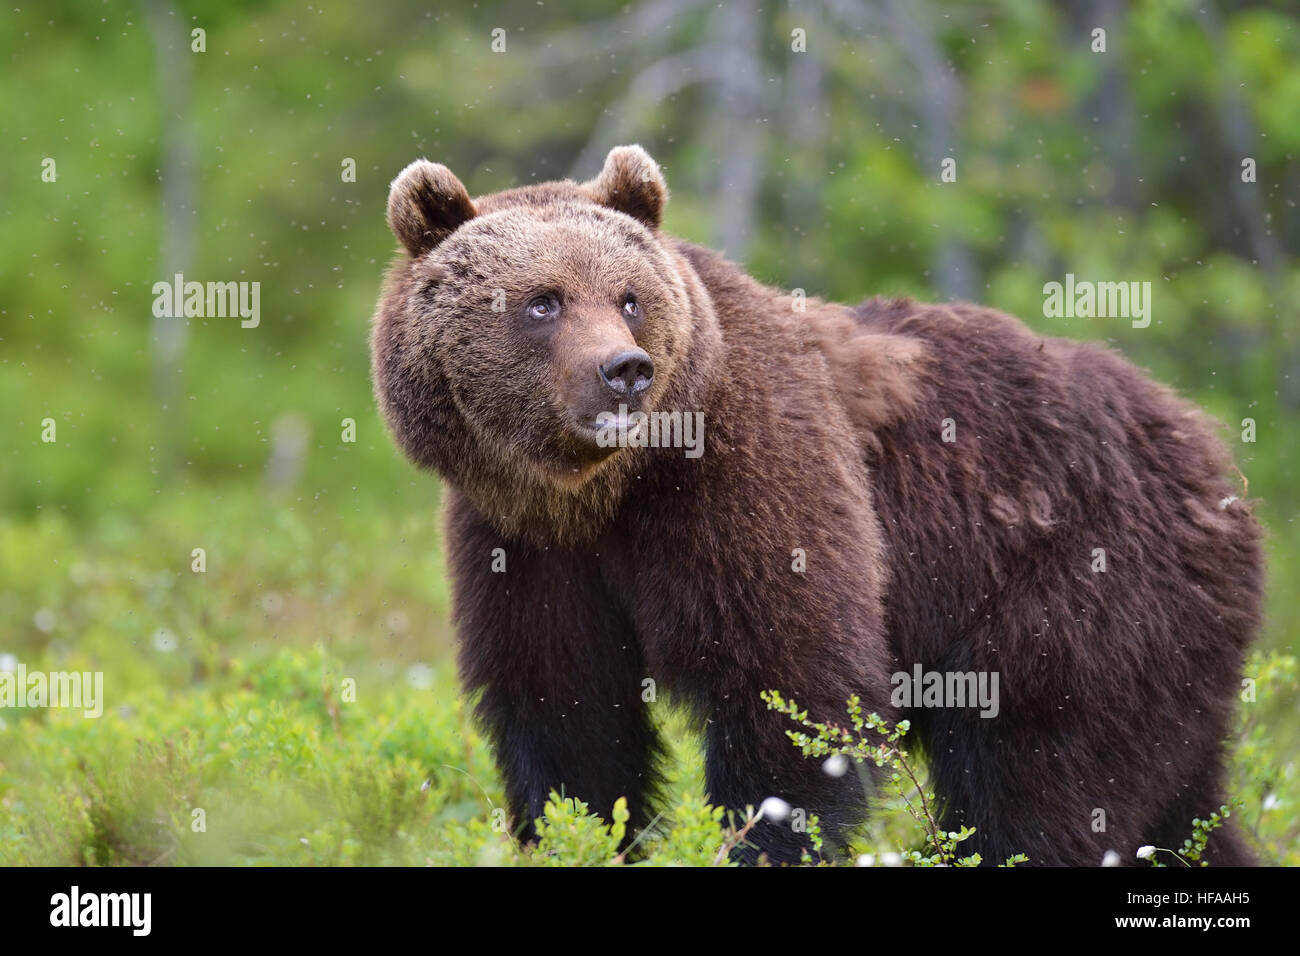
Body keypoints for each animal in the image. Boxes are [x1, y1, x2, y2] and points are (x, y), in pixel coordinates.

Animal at [370, 144, 1264, 865]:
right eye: (543, 300)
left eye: (628, 297)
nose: (624, 370)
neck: (606, 491)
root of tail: (1212, 457)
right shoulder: (520, 543)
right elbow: (565, 716)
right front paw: (581, 834)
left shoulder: (751, 478)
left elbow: (792, 691)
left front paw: (758, 841)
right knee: (1173, 795)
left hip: (1079, 586)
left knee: (1043, 775)